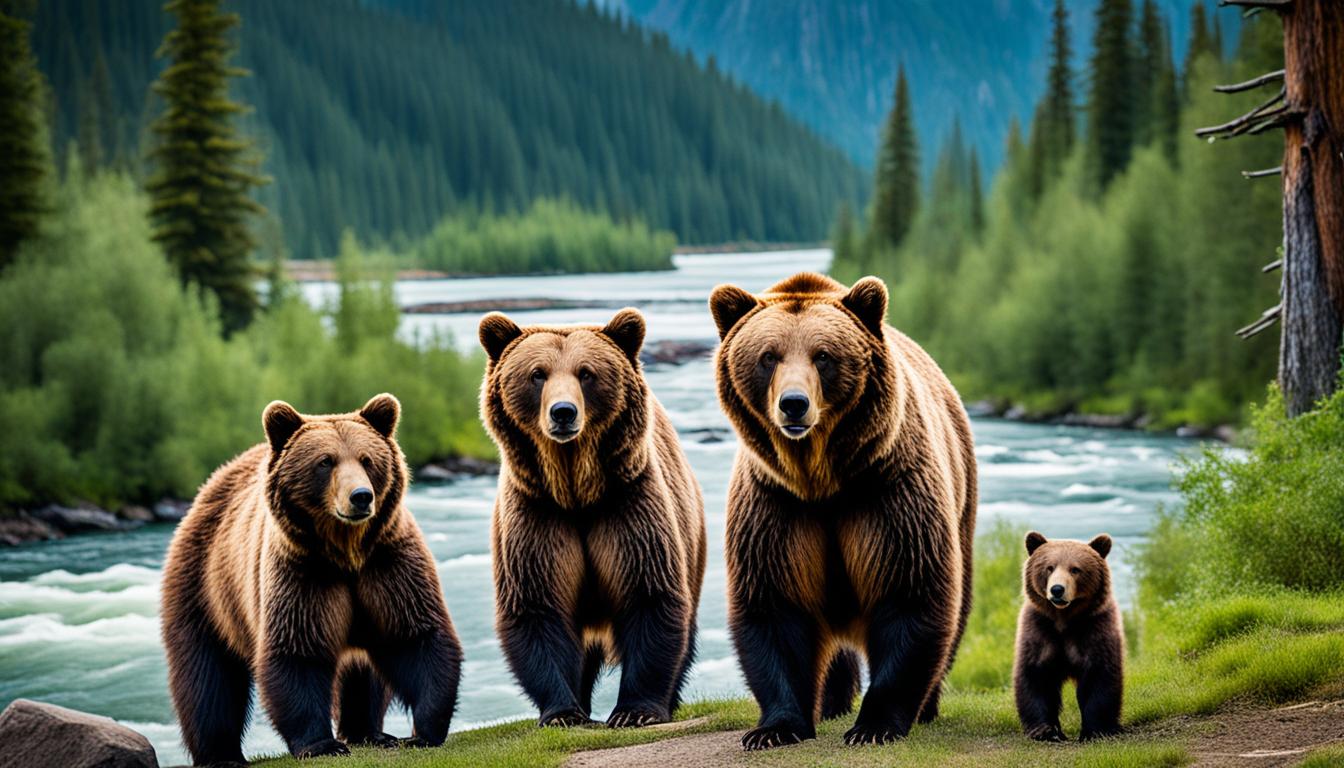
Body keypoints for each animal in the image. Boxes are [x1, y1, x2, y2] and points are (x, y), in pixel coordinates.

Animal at [160, 394, 463, 765]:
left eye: (367, 459)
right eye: (325, 461)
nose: (360, 496)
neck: (346, 552)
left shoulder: (387, 564)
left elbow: (414, 634)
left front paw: (423, 731)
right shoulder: (301, 572)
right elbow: (298, 649)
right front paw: (322, 743)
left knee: (364, 671)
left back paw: (370, 733)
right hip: (204, 587)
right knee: (207, 676)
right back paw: (219, 753)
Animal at [477, 308, 707, 729]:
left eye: (586, 373)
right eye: (537, 374)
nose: (563, 412)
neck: (576, 491)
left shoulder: (628, 505)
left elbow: (649, 594)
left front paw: (634, 710)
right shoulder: (536, 515)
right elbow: (537, 607)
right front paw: (562, 712)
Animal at [708, 272, 978, 750]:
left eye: (823, 356)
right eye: (768, 356)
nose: (794, 404)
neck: (821, 479)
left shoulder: (888, 490)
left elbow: (909, 591)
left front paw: (874, 725)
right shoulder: (775, 505)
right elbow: (775, 604)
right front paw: (774, 728)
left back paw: (925, 706)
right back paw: (831, 703)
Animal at [1014, 531, 1124, 742]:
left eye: (1075, 569)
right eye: (1049, 567)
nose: (1057, 589)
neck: (1063, 619)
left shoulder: (1094, 629)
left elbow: (1099, 676)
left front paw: (1095, 730)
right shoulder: (1040, 630)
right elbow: (1036, 674)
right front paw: (1045, 730)